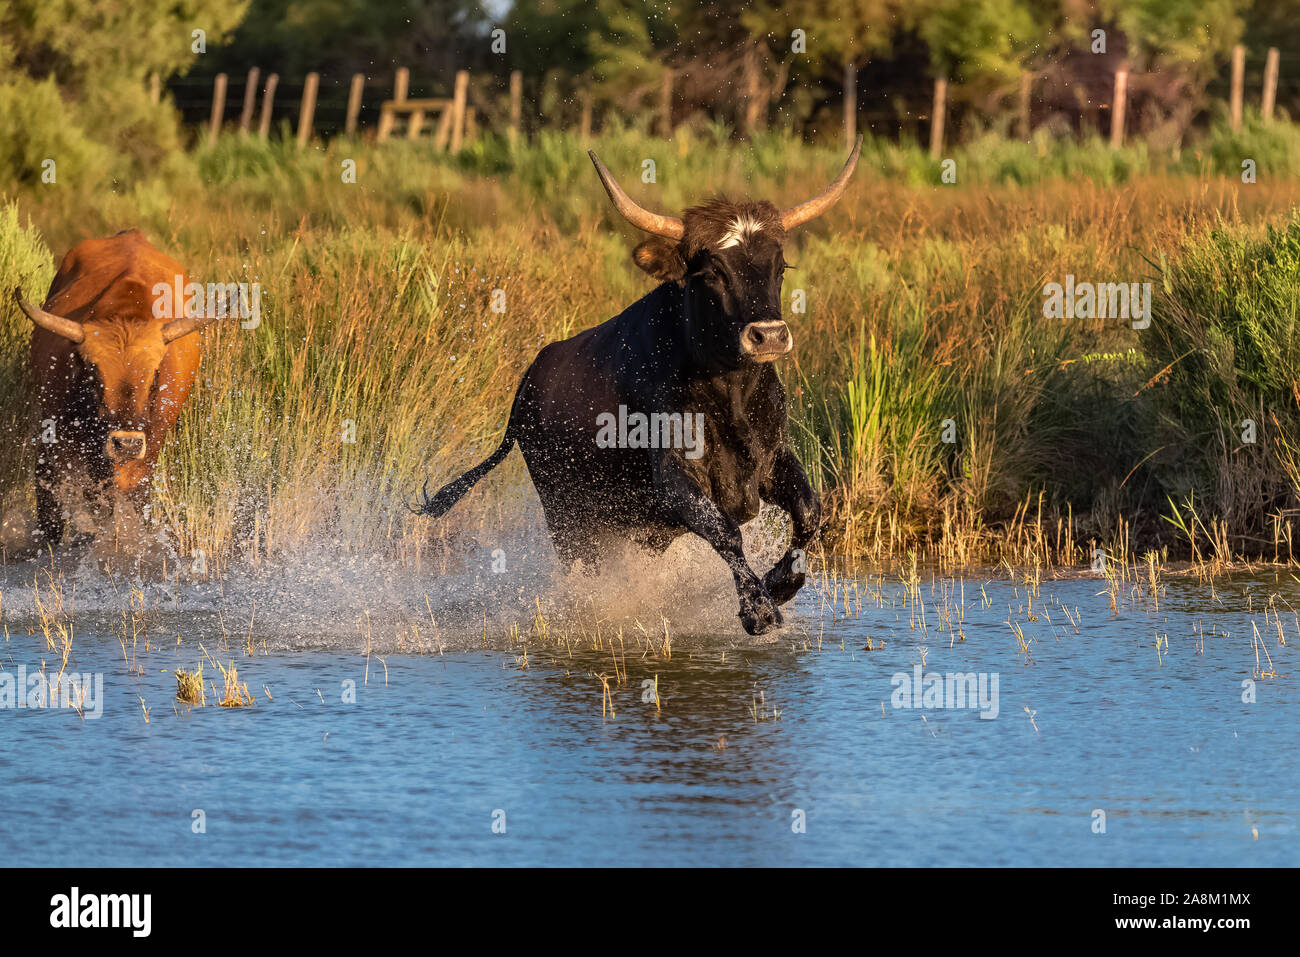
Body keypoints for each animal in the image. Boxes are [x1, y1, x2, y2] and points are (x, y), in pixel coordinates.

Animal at [12, 228, 217, 546]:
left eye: (155, 374)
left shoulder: (143, 456)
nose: (127, 443)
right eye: (92, 373)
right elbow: (55, 507)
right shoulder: (55, 445)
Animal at [415, 139, 861, 635]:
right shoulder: (674, 478)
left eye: (780, 266)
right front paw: (758, 608)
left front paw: (780, 583)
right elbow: (726, 531)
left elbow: (809, 511)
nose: (769, 335)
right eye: (712, 271)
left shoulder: (772, 457)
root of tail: (530, 380)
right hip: (568, 518)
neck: (731, 395)